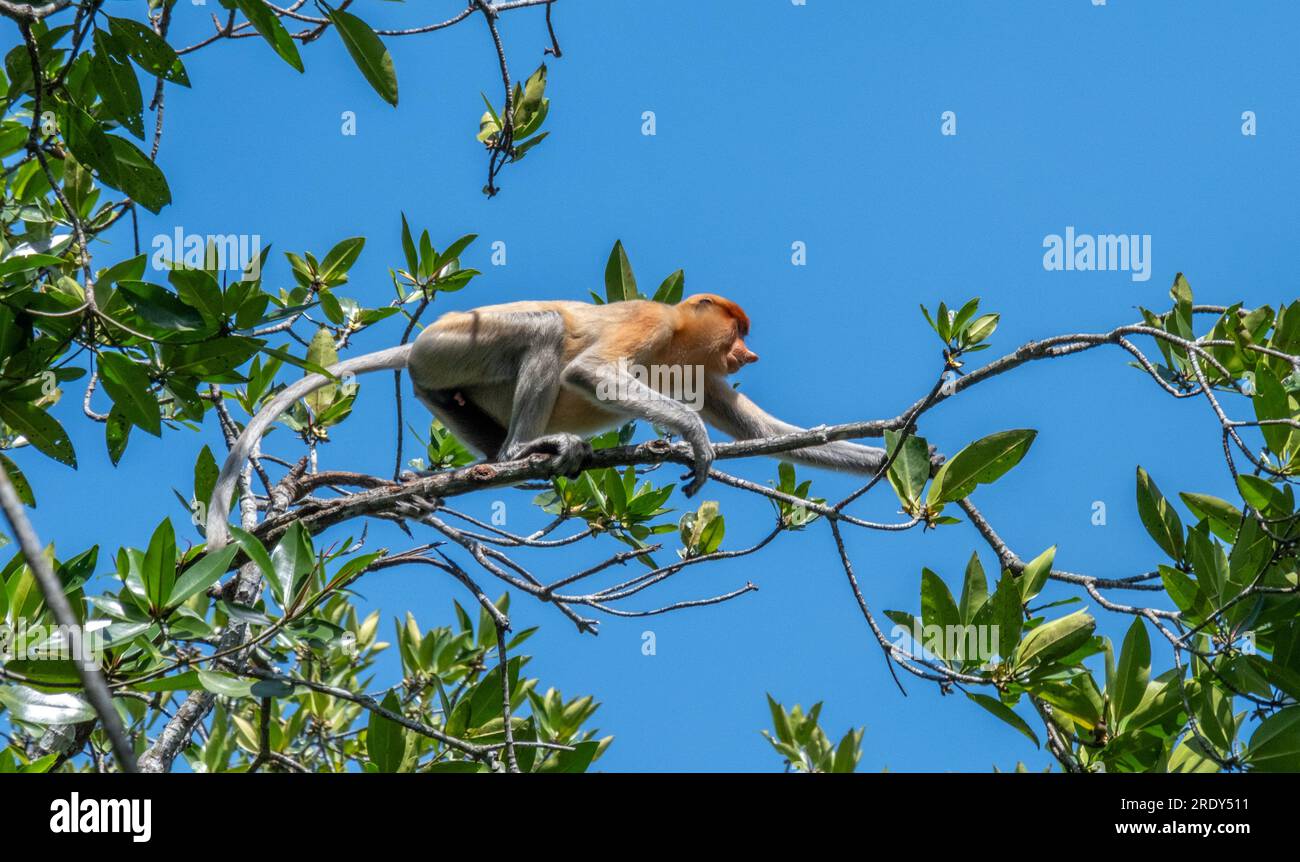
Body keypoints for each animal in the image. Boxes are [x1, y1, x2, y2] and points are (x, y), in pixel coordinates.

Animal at [204, 294, 894, 550]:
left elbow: (758, 432)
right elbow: (592, 373)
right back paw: (526, 451)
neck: (679, 341)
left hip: (438, 386)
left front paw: (889, 455)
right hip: (457, 343)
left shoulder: (704, 376)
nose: (748, 355)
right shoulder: (653, 324)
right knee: (543, 329)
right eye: (736, 331)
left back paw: (505, 462)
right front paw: (695, 439)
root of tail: (416, 345)